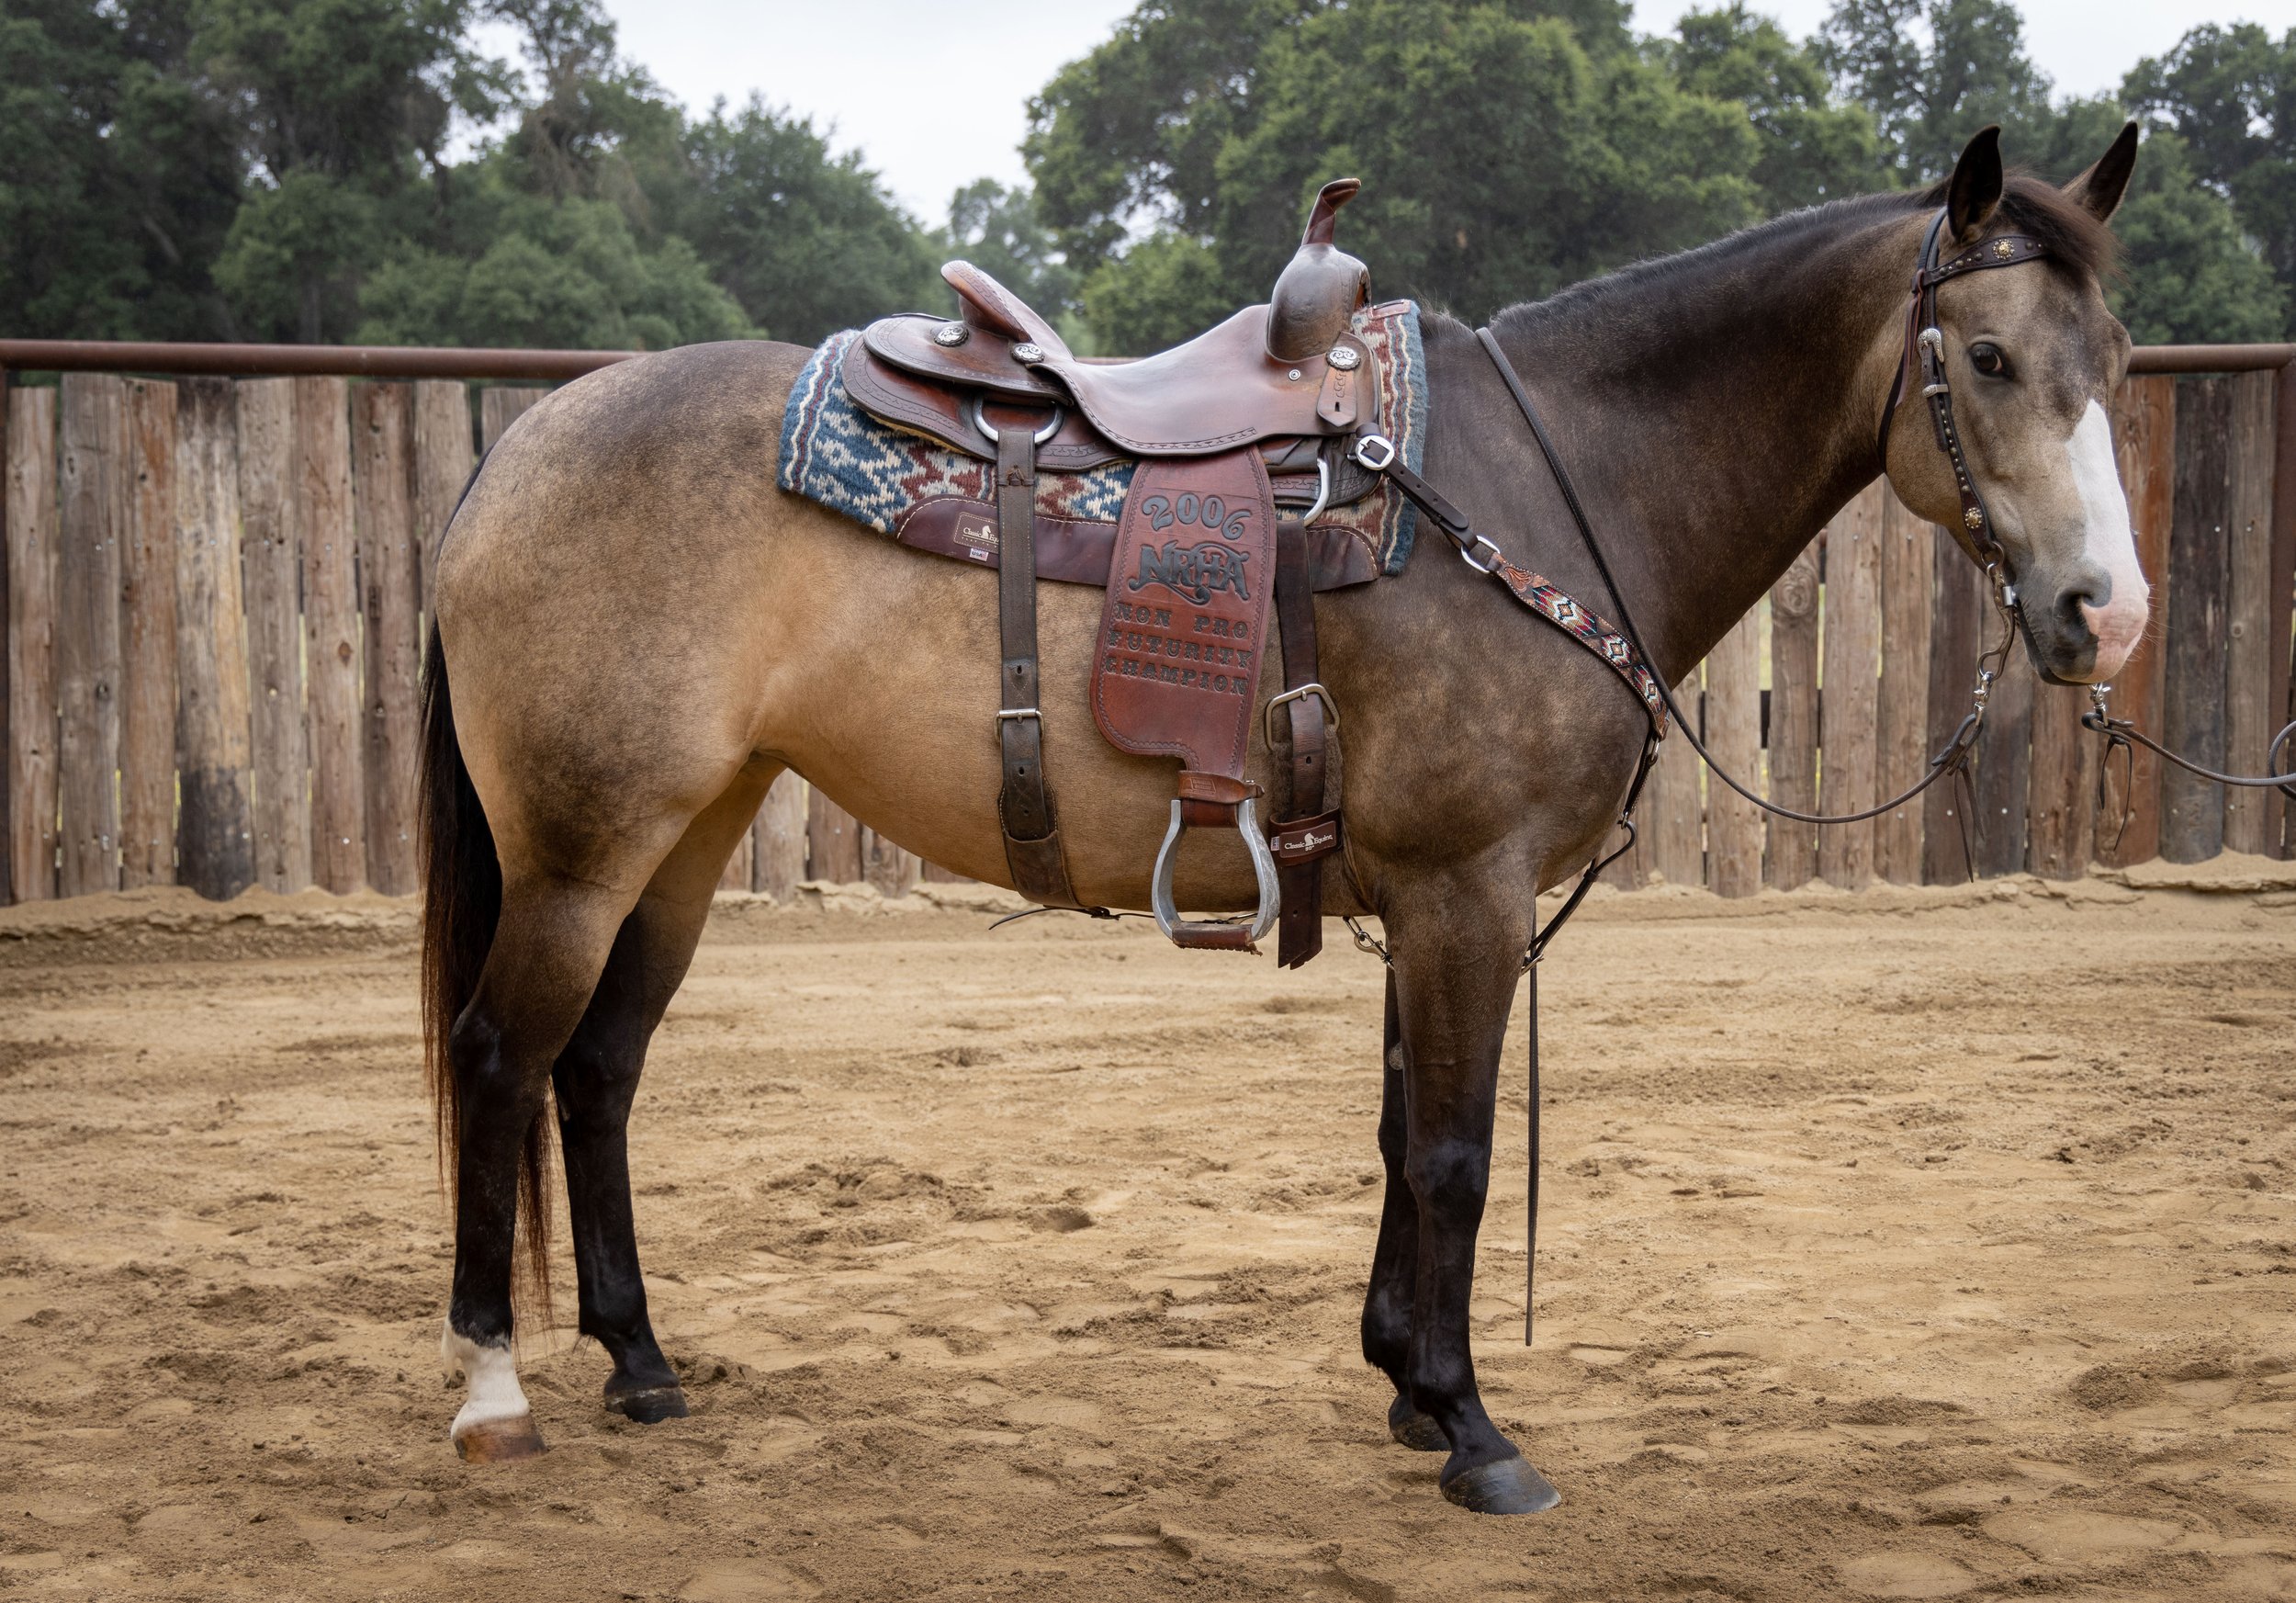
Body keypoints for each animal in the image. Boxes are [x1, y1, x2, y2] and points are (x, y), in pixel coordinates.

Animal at [419, 124, 2148, 1515]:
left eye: (2119, 358)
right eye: (1988, 360)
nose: (2105, 614)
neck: (1547, 486)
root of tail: (521, 447)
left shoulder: (1422, 902)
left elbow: (1396, 1134)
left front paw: (1403, 1385)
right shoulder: (1469, 892)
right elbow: (1453, 1151)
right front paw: (1473, 1430)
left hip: (687, 836)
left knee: (600, 1069)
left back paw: (642, 1364)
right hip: (580, 852)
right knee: (503, 1059)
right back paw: (494, 1393)